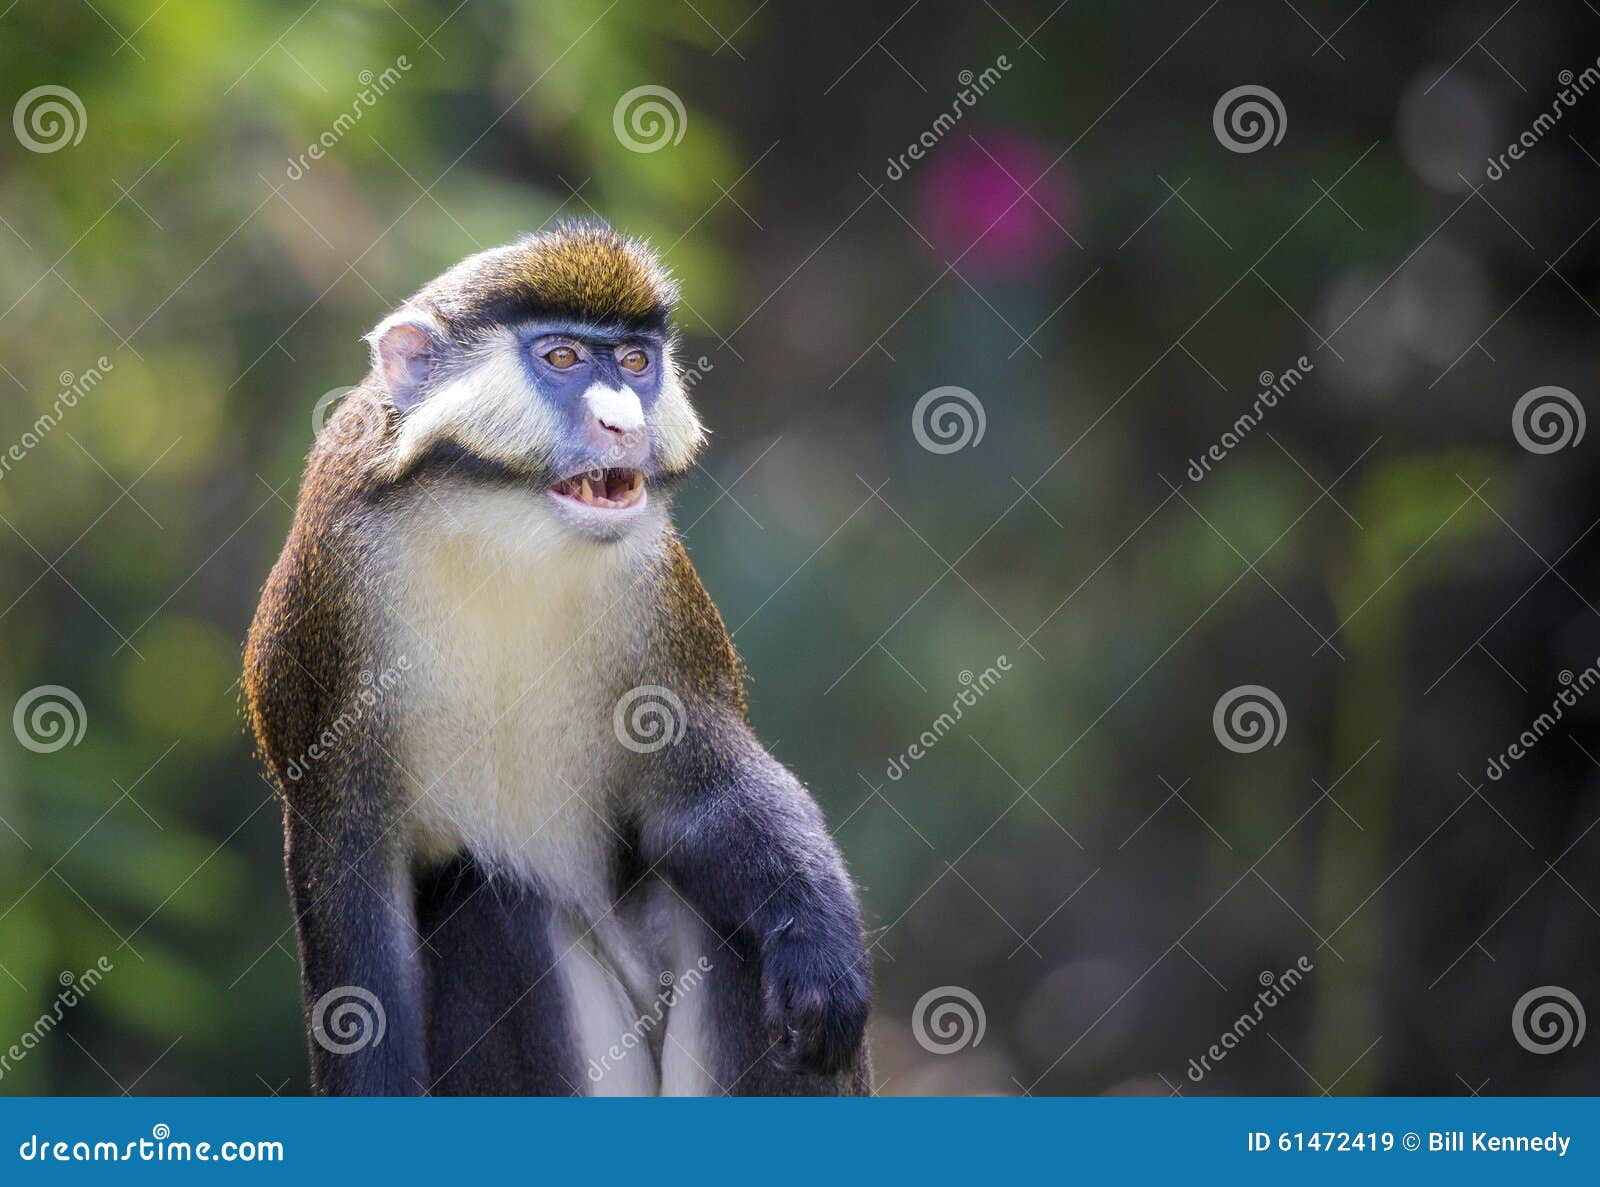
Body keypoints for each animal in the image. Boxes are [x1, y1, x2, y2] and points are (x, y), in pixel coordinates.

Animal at [242, 222, 872, 1096]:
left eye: (635, 362)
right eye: (564, 358)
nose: (623, 423)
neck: (494, 527)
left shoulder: (657, 598)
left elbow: (700, 794)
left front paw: (816, 938)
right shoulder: (328, 620)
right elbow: (359, 919)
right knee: (484, 901)